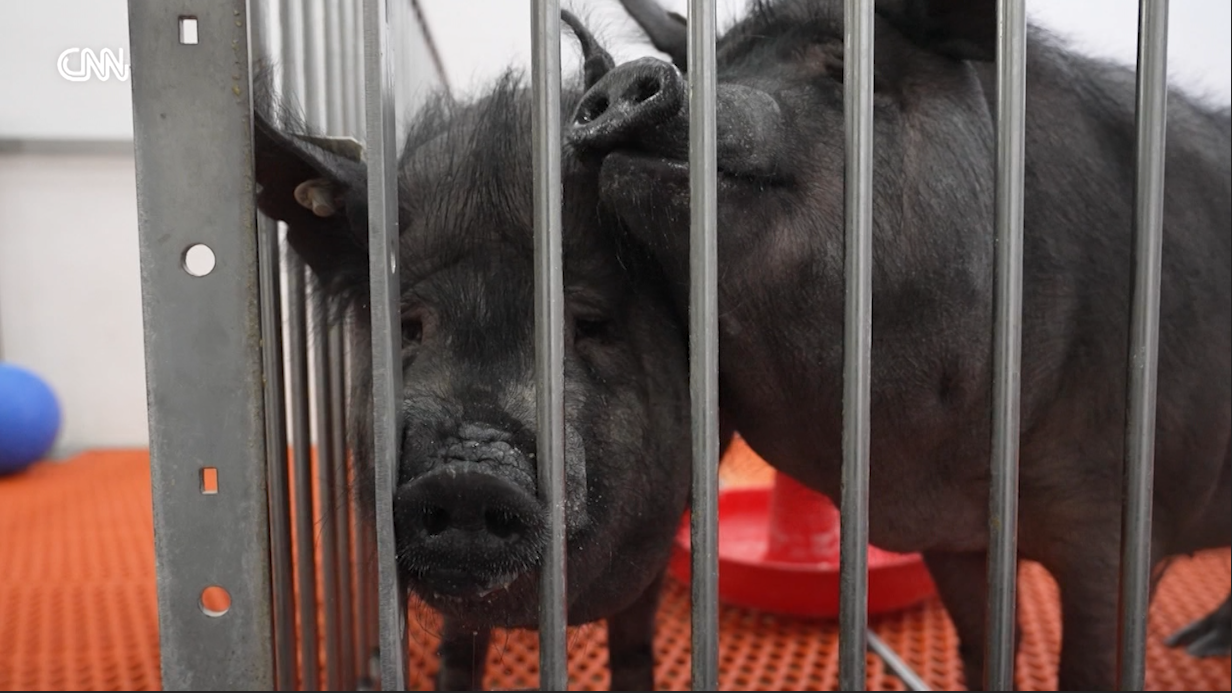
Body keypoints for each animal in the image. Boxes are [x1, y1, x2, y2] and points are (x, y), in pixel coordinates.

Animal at [565, 0, 1232, 689]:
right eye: (717, 66)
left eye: (844, 69)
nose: (628, 76)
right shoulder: (953, 535)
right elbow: (984, 643)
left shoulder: (1125, 523)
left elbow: (1091, 663)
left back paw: (1192, 646)